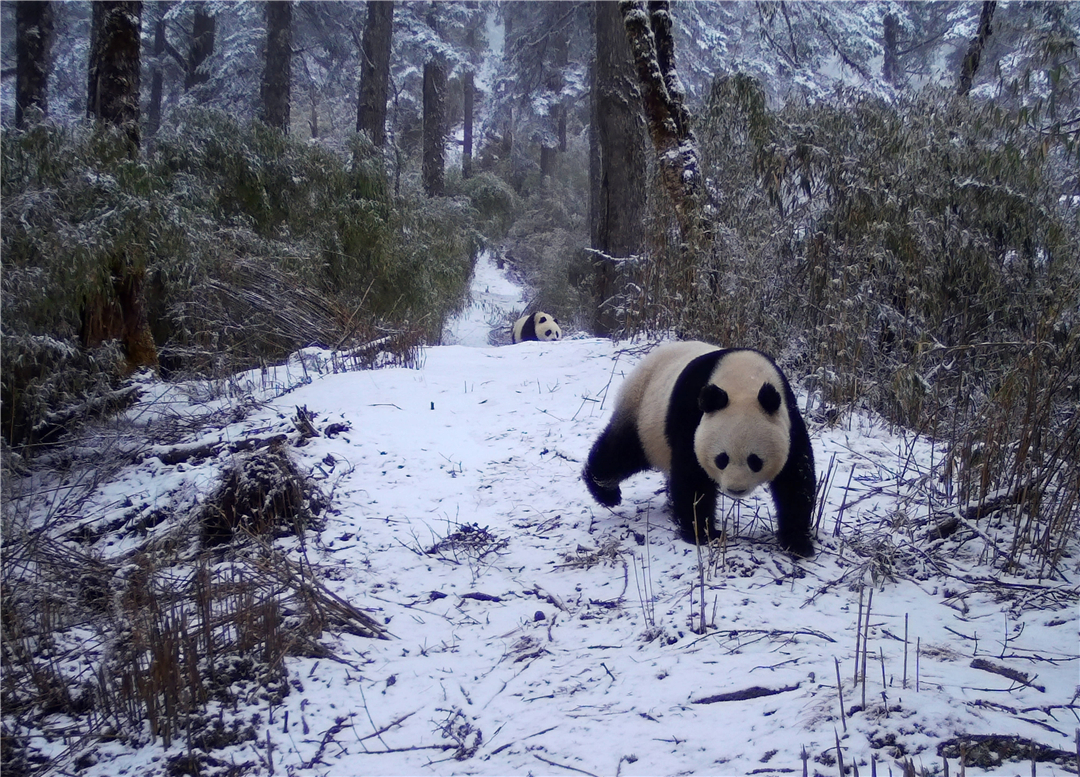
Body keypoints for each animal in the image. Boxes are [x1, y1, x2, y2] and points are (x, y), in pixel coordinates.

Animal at [583, 341, 815, 556]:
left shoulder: (789, 420)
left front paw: (797, 542)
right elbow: (692, 477)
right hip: (642, 411)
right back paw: (605, 490)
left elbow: (794, 479)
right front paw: (704, 533)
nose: (736, 489)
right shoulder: (691, 414)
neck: (744, 382)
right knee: (622, 450)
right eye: (722, 459)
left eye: (755, 461)